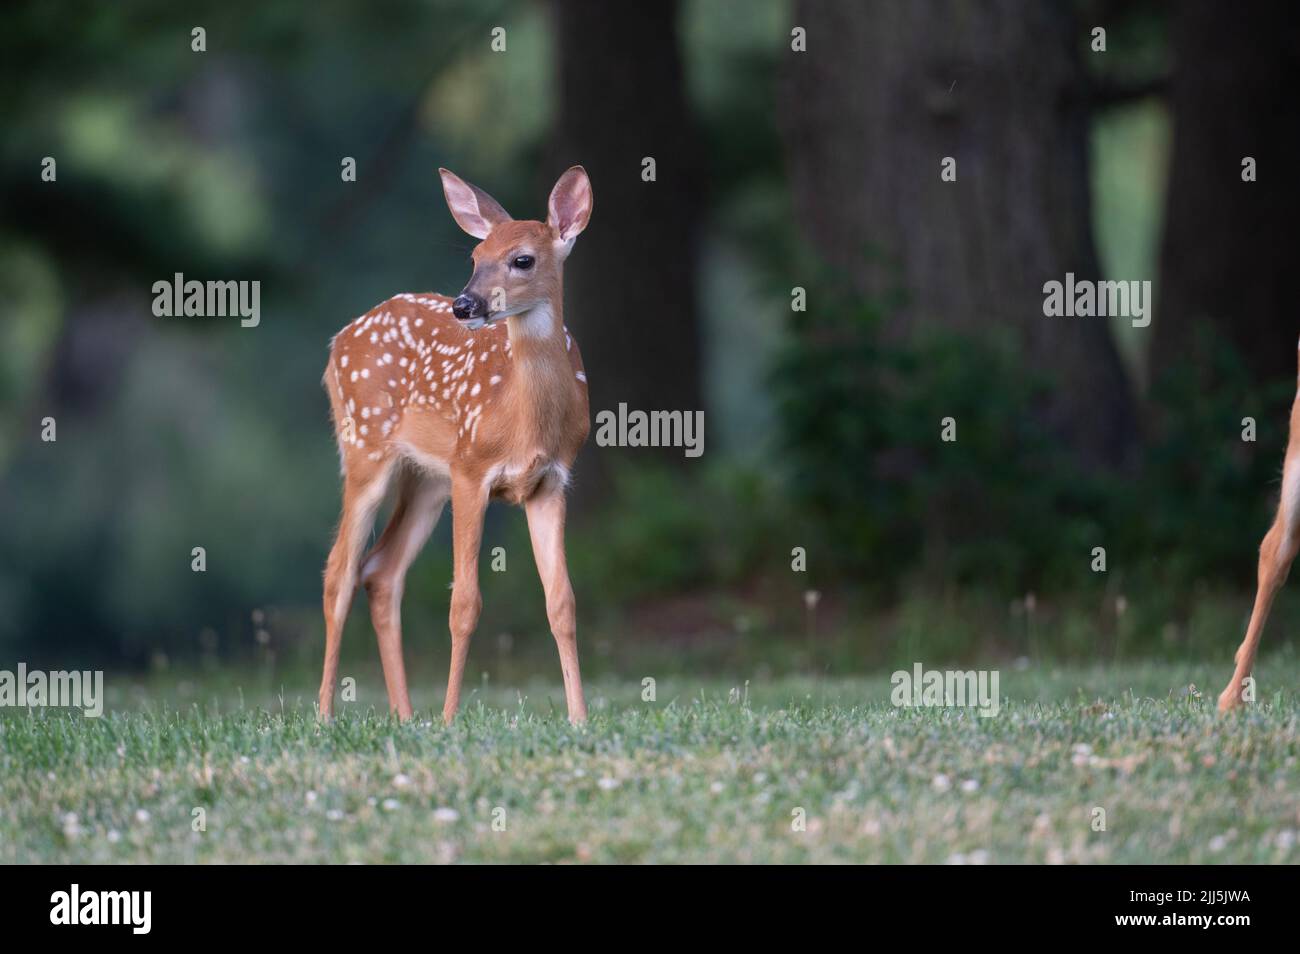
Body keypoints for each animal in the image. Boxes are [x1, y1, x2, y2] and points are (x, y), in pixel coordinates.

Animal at [317, 166, 594, 725]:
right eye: (474, 256)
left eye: (522, 259)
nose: (464, 305)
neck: (525, 420)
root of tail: (339, 341)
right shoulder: (472, 468)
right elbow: (464, 603)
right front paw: (448, 718)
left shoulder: (550, 481)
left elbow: (562, 602)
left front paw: (579, 718)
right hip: (365, 448)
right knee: (338, 573)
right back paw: (324, 715)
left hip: (427, 478)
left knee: (380, 570)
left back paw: (405, 716)